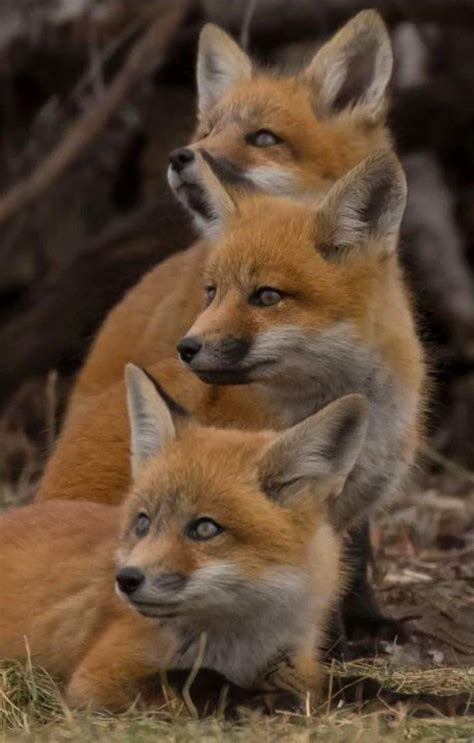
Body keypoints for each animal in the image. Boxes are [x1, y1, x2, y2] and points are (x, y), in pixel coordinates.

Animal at [0, 366, 369, 710]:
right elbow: (200, 680)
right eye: (143, 522)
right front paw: (267, 701)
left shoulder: (293, 662)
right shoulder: (94, 681)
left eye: (205, 528)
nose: (126, 579)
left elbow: (339, 684)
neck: (240, 641)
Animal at [37, 150, 425, 641]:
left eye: (267, 296)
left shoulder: (355, 507)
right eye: (212, 292)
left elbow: (353, 567)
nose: (186, 347)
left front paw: (367, 624)